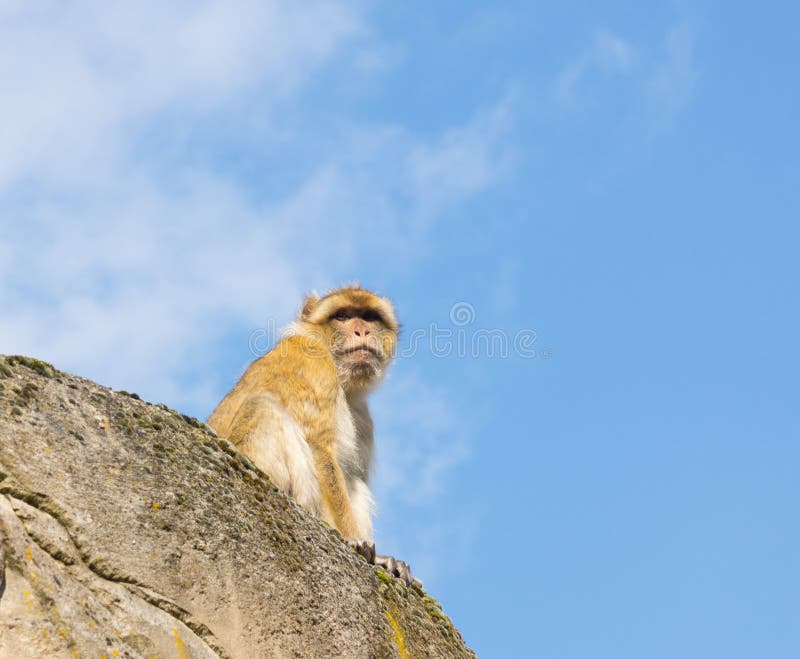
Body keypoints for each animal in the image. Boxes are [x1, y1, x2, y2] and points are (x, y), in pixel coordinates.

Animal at [207, 284, 419, 585]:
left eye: (369, 317)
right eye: (343, 316)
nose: (362, 331)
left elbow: (352, 474)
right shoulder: (312, 362)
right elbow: (321, 451)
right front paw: (354, 541)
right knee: (262, 407)